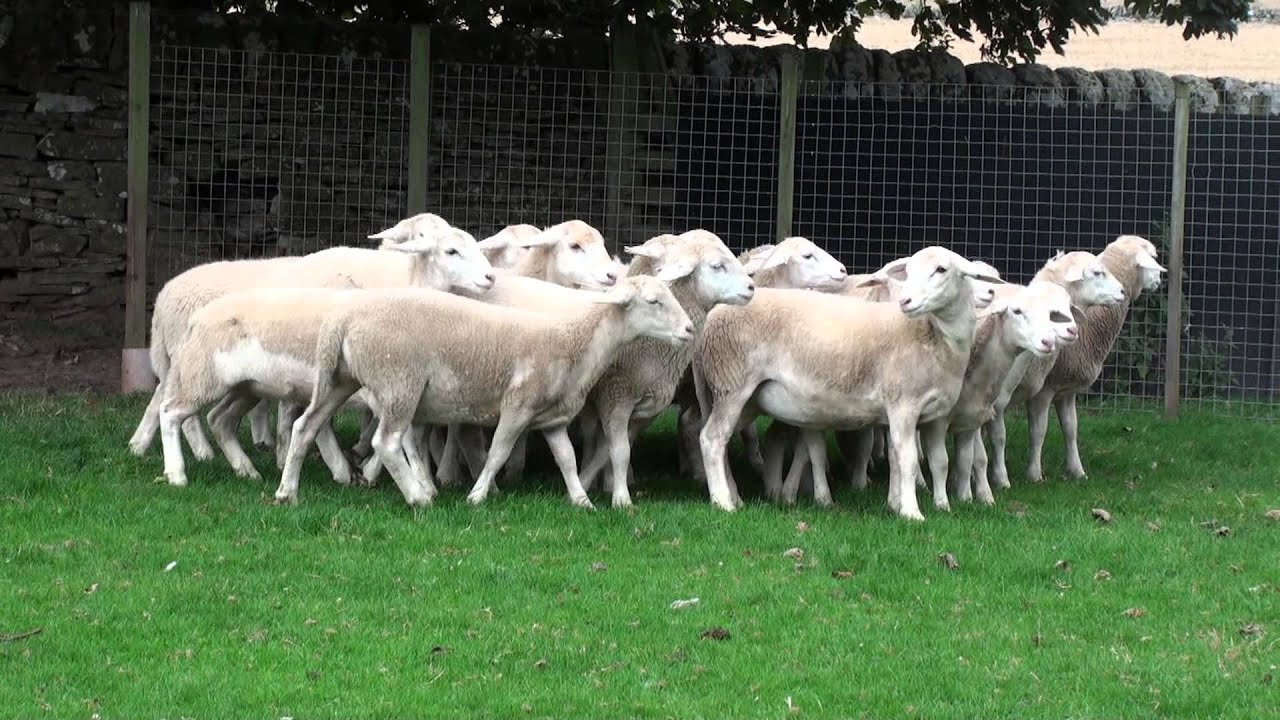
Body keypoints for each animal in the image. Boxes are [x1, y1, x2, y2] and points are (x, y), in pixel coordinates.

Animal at [151, 226, 497, 489]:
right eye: (451, 251)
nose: (490, 277)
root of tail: (167, 292)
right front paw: (361, 470)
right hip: (200, 370)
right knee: (171, 411)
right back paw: (180, 469)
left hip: (244, 384)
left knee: (216, 418)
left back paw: (244, 468)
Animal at [272, 275, 696, 508]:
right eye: (654, 301)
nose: (690, 329)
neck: (571, 341)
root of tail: (342, 320)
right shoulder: (517, 405)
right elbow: (498, 452)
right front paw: (477, 495)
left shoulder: (553, 418)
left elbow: (567, 460)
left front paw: (582, 500)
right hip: (398, 381)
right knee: (386, 442)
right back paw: (418, 497)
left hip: (338, 378)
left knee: (305, 427)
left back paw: (287, 493)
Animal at [692, 246, 1001, 520]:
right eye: (909, 272)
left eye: (941, 270)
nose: (906, 302)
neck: (935, 336)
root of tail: (713, 315)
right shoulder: (902, 404)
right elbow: (908, 459)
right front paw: (912, 512)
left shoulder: (934, 415)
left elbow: (937, 462)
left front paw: (937, 506)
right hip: (732, 383)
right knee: (712, 438)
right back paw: (723, 502)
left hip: (746, 397)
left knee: (720, 439)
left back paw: (734, 495)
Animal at [1017, 235, 1166, 482]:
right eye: (1152, 258)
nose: (1159, 280)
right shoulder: (1044, 389)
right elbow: (1038, 431)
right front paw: (1034, 474)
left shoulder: (1067, 390)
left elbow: (1071, 429)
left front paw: (1076, 470)